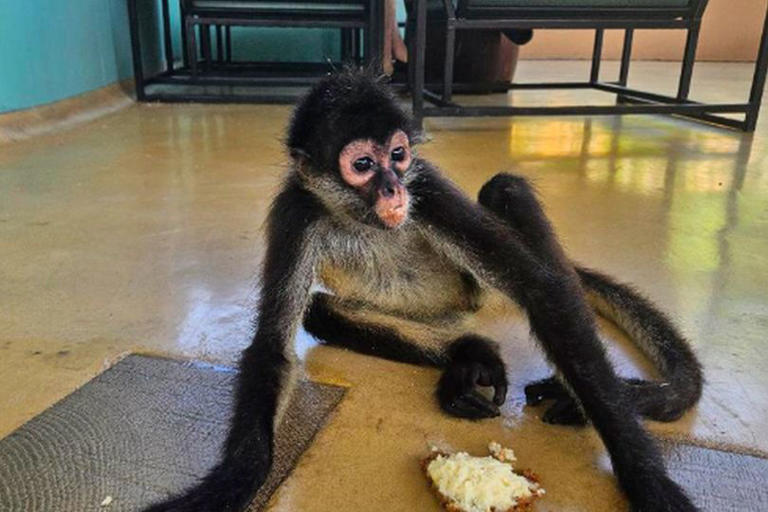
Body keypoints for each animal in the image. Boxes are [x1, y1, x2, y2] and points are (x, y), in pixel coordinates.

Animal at [144, 69, 703, 512]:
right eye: (362, 165)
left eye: (397, 154)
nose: (394, 189)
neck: (366, 220)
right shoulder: (295, 210)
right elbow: (272, 348)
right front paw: (229, 486)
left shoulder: (426, 186)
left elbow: (543, 292)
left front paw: (648, 482)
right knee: (320, 312)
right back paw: (467, 357)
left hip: (477, 279)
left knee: (507, 194)